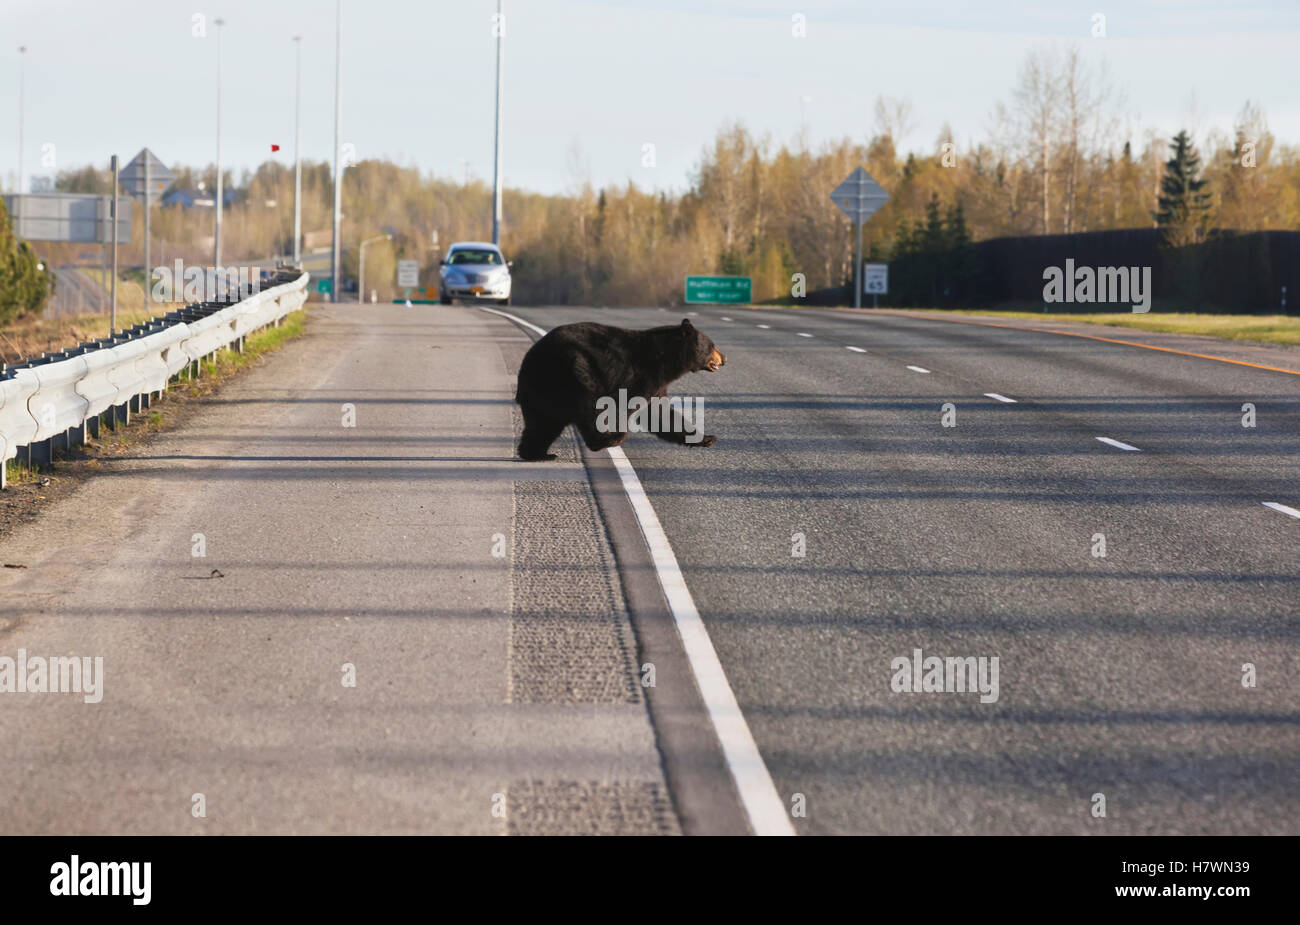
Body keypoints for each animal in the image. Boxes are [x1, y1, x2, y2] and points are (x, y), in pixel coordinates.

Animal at [515, 318, 726, 461]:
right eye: (712, 345)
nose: (724, 358)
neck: (666, 359)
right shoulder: (639, 374)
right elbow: (626, 405)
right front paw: (619, 430)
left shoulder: (656, 385)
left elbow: (661, 415)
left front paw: (707, 438)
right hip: (572, 369)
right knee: (588, 405)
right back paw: (609, 439)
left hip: (545, 390)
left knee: (543, 423)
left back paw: (536, 453)